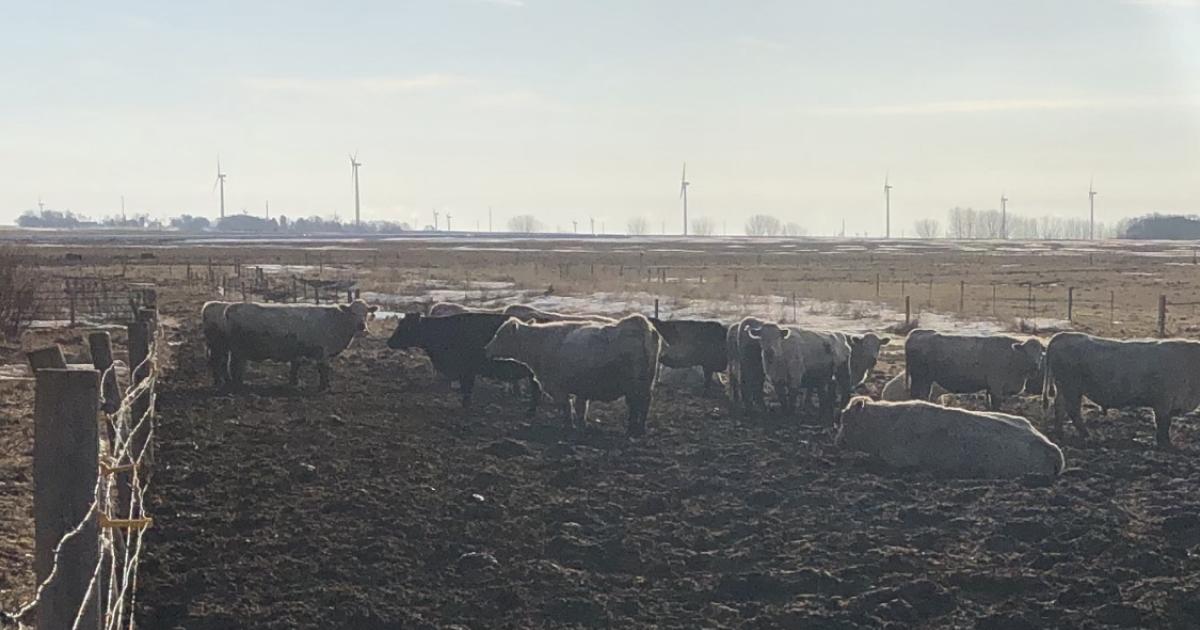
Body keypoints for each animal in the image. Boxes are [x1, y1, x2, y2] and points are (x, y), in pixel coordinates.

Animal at [224, 299, 377, 390]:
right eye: (352, 312)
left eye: (366, 312)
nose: (361, 325)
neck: (337, 321)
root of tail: (232, 307)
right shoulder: (323, 351)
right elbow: (323, 369)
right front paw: (325, 386)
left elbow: (295, 367)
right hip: (239, 349)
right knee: (234, 366)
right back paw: (238, 384)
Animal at [484, 314, 662, 436]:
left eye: (500, 335)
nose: (486, 349)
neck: (541, 342)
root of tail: (640, 324)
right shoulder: (582, 390)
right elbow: (580, 409)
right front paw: (582, 426)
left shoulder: (559, 388)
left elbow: (566, 408)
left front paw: (569, 427)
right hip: (646, 382)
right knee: (642, 404)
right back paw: (638, 429)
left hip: (634, 384)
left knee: (637, 404)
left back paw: (633, 429)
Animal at [905, 329, 1045, 411]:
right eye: (1026, 352)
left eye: (1040, 353)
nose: (1035, 366)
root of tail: (917, 333)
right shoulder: (996, 387)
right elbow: (995, 406)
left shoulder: (991, 388)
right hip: (919, 377)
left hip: (925, 380)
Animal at [1042, 332, 1200, 448]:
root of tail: (1065, 335)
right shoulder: (1164, 402)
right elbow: (1163, 424)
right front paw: (1165, 444)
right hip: (1071, 388)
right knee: (1073, 410)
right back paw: (1087, 436)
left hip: (1064, 388)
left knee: (1060, 407)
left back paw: (1060, 434)